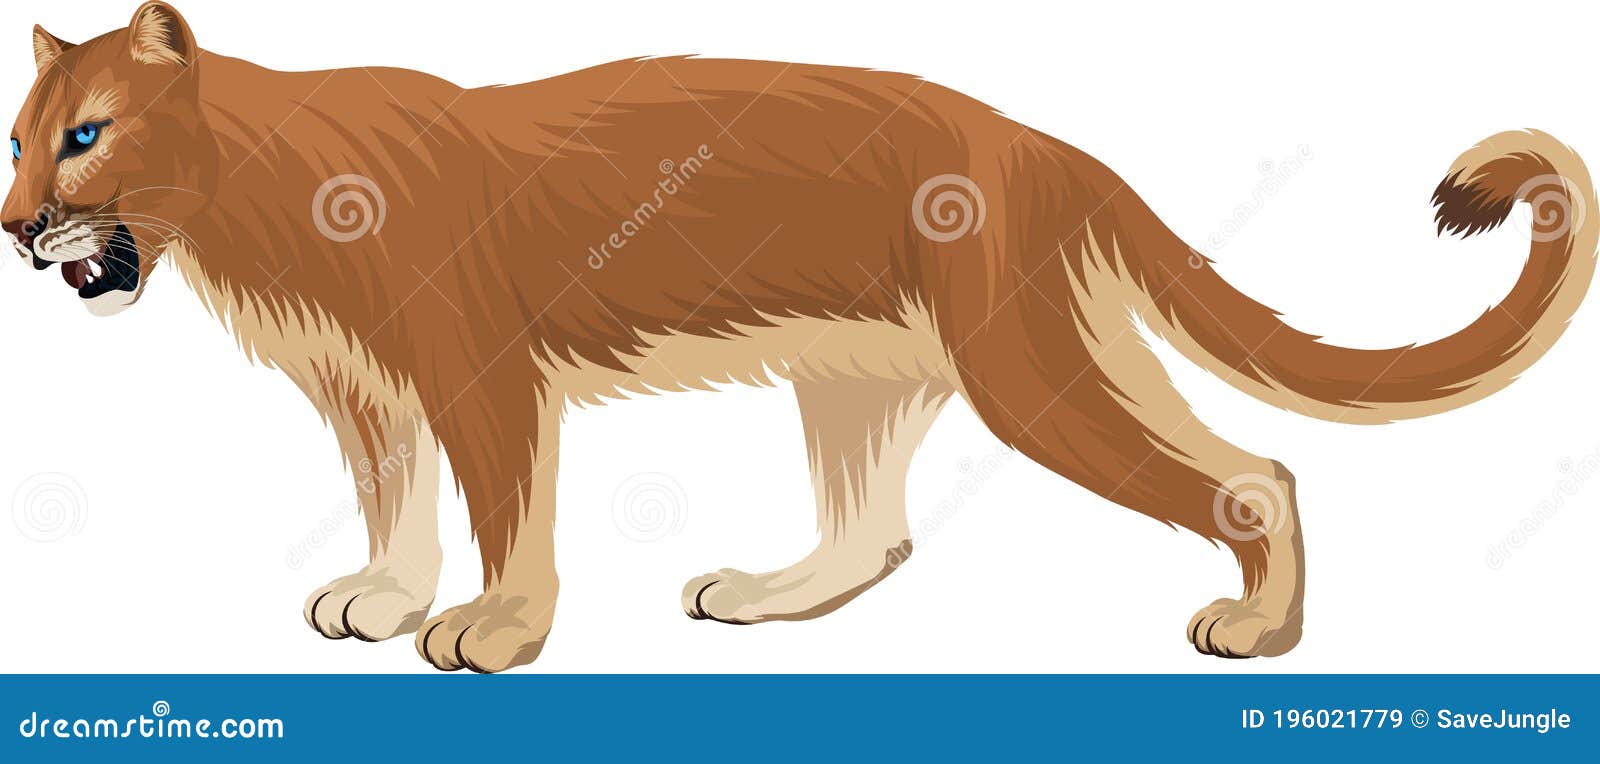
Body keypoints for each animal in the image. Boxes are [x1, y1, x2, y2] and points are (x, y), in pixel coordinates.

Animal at [4, 2, 1593, 672]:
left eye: (87, 137)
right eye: (20, 139)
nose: (18, 228)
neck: (242, 207)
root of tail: (1049, 148)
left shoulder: (479, 372)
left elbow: (505, 509)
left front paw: (494, 630)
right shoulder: (365, 394)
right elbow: (396, 505)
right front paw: (384, 600)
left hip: (1028, 369)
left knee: (1254, 474)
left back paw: (1258, 631)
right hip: (866, 374)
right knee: (874, 531)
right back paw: (760, 596)